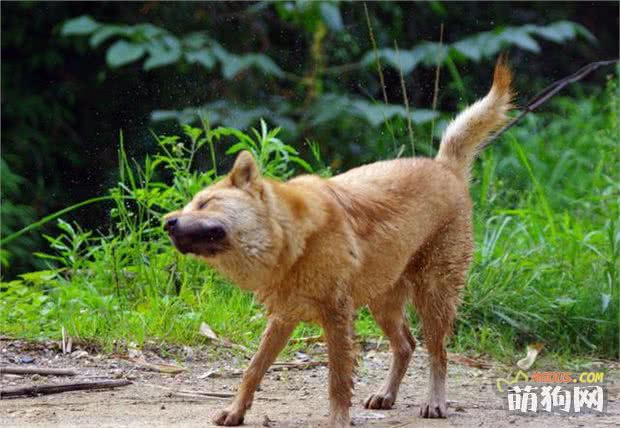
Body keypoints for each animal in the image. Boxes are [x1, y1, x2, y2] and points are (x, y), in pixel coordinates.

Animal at [165, 57, 512, 428]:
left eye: (204, 203)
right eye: (190, 204)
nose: (167, 222)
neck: (295, 240)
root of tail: (444, 167)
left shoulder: (336, 317)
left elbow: (337, 379)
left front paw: (338, 419)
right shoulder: (283, 317)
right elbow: (253, 369)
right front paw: (235, 411)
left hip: (433, 297)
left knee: (438, 353)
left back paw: (435, 402)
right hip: (382, 302)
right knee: (406, 344)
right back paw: (386, 395)